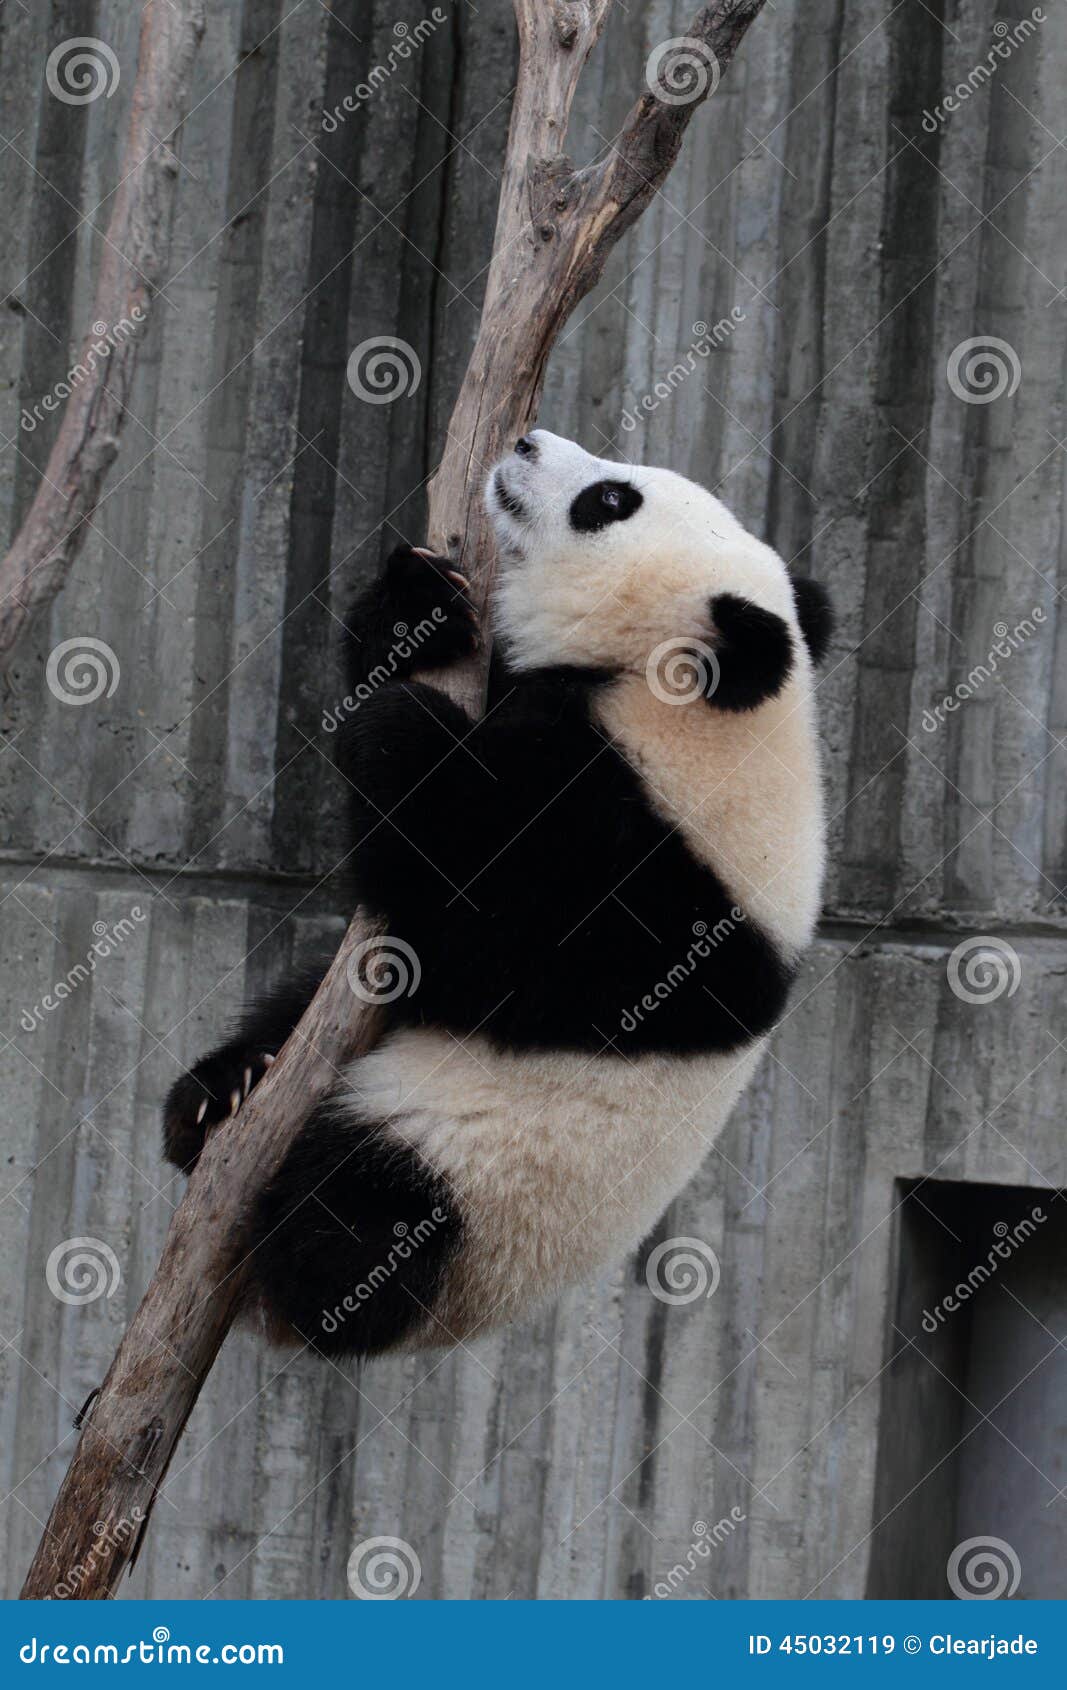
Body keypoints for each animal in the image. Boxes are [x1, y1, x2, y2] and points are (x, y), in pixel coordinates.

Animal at [164, 429, 834, 1360]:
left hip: (466, 1189)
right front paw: (417, 605)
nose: (525, 440)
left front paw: (404, 733)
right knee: (289, 1012)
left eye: (610, 501)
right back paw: (214, 1095)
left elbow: (483, 922)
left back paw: (301, 1254)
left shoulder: (659, 882)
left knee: (366, 1230)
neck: (699, 717)